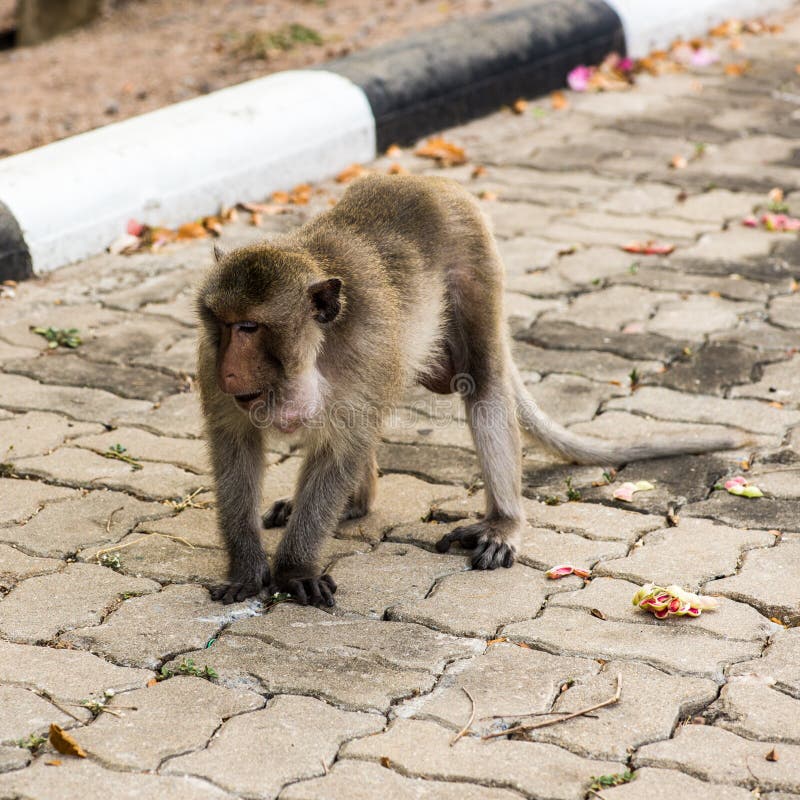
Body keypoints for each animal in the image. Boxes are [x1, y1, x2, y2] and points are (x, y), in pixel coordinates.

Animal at [196, 174, 739, 606]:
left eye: (249, 327)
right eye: (220, 324)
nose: (229, 372)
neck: (312, 353)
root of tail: (431, 181)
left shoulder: (364, 354)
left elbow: (339, 449)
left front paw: (294, 570)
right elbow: (237, 447)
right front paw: (248, 568)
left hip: (474, 264)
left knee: (484, 384)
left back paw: (501, 522)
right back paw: (356, 502)